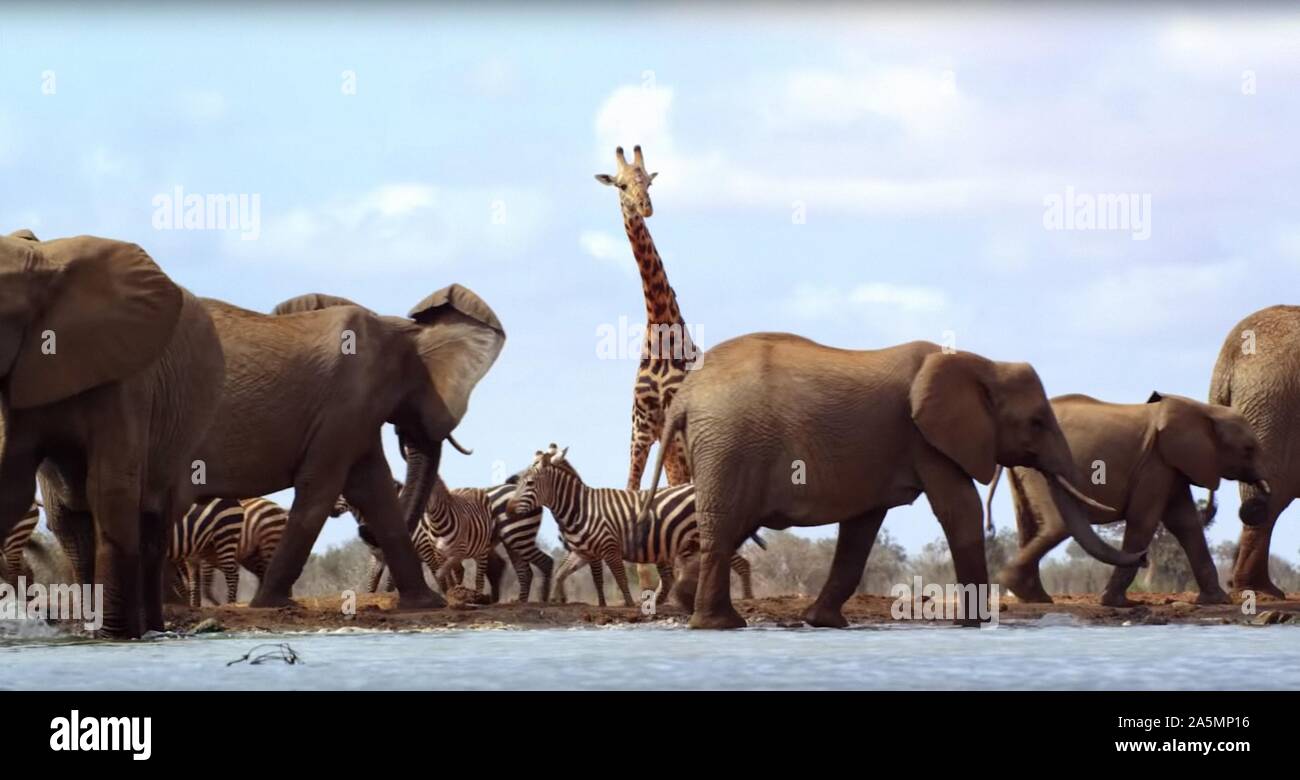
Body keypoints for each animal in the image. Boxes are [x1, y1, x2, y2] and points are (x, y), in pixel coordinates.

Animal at [0, 231, 225, 637]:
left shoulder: (127, 376)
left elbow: (111, 488)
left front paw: (116, 637)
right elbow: (10, 483)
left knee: (151, 526)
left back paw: (147, 630)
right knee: (72, 526)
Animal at [188, 284, 504, 609]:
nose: (363, 531)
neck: (398, 330)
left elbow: (372, 487)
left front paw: (426, 604)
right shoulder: (344, 406)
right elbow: (321, 487)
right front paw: (272, 604)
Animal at [637, 335, 1144, 629]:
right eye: (1037, 422)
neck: (980, 362)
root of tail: (685, 395)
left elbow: (862, 528)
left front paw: (823, 623)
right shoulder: (926, 437)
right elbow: (960, 509)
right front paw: (978, 623)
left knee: (726, 527)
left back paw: (699, 614)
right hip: (731, 445)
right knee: (726, 527)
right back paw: (717, 626)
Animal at [989, 392, 1269, 606]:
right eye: (1248, 449)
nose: (1145, 559)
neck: (1202, 410)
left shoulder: (1171, 466)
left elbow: (1185, 523)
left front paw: (1217, 601)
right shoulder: (1155, 462)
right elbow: (1143, 522)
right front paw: (1116, 603)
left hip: (1025, 471)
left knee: (1028, 525)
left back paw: (1032, 596)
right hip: (1040, 467)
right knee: (1057, 526)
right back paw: (1022, 588)